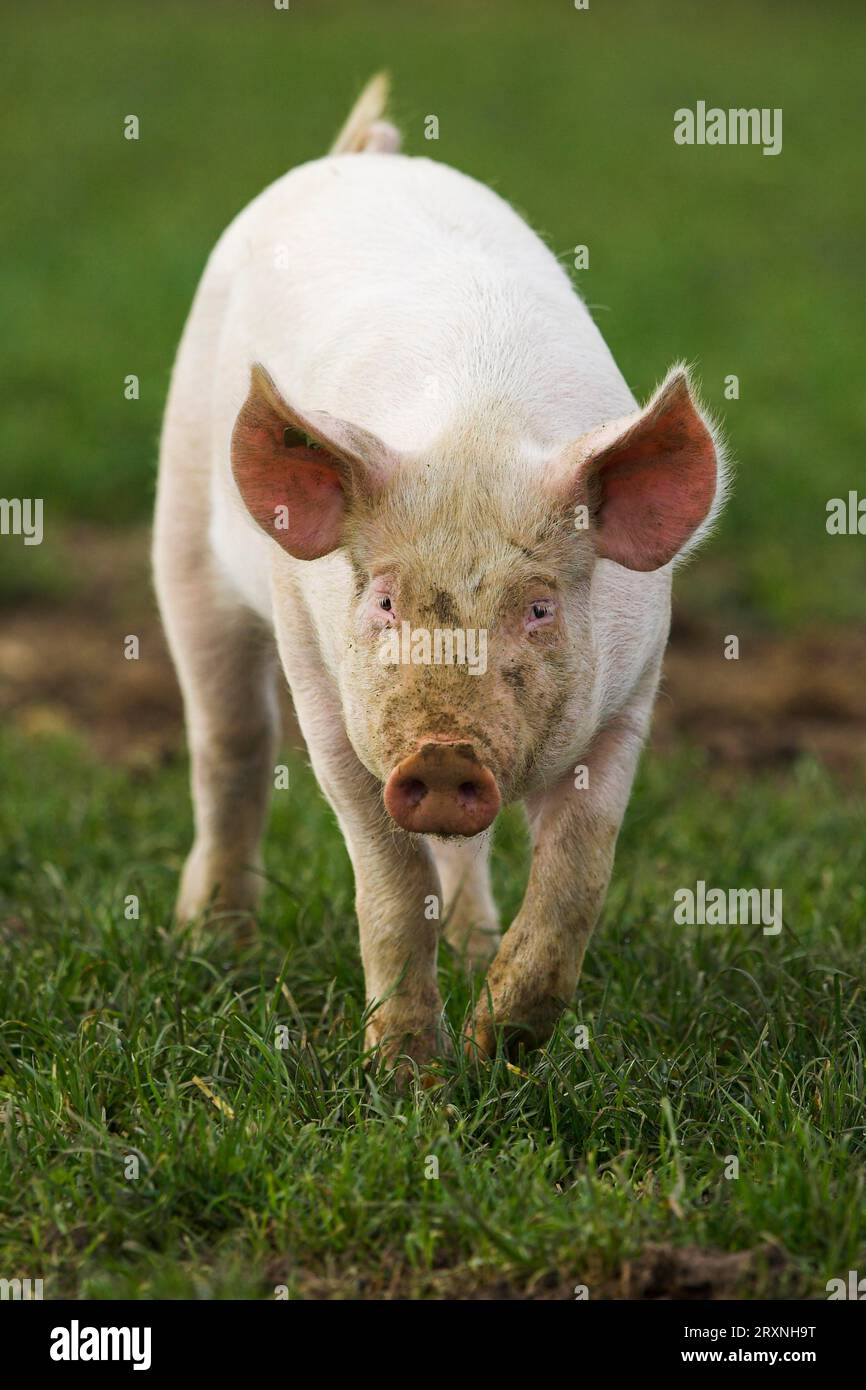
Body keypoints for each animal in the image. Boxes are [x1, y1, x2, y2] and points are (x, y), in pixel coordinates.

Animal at [153, 74, 725, 1074]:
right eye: (384, 599)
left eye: (538, 608)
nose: (445, 753)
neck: (477, 432)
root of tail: (366, 154)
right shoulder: (326, 691)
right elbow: (387, 882)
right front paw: (410, 1078)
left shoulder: (634, 685)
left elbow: (581, 870)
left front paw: (502, 1047)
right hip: (182, 526)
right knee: (230, 743)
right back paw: (214, 943)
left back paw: (470, 948)